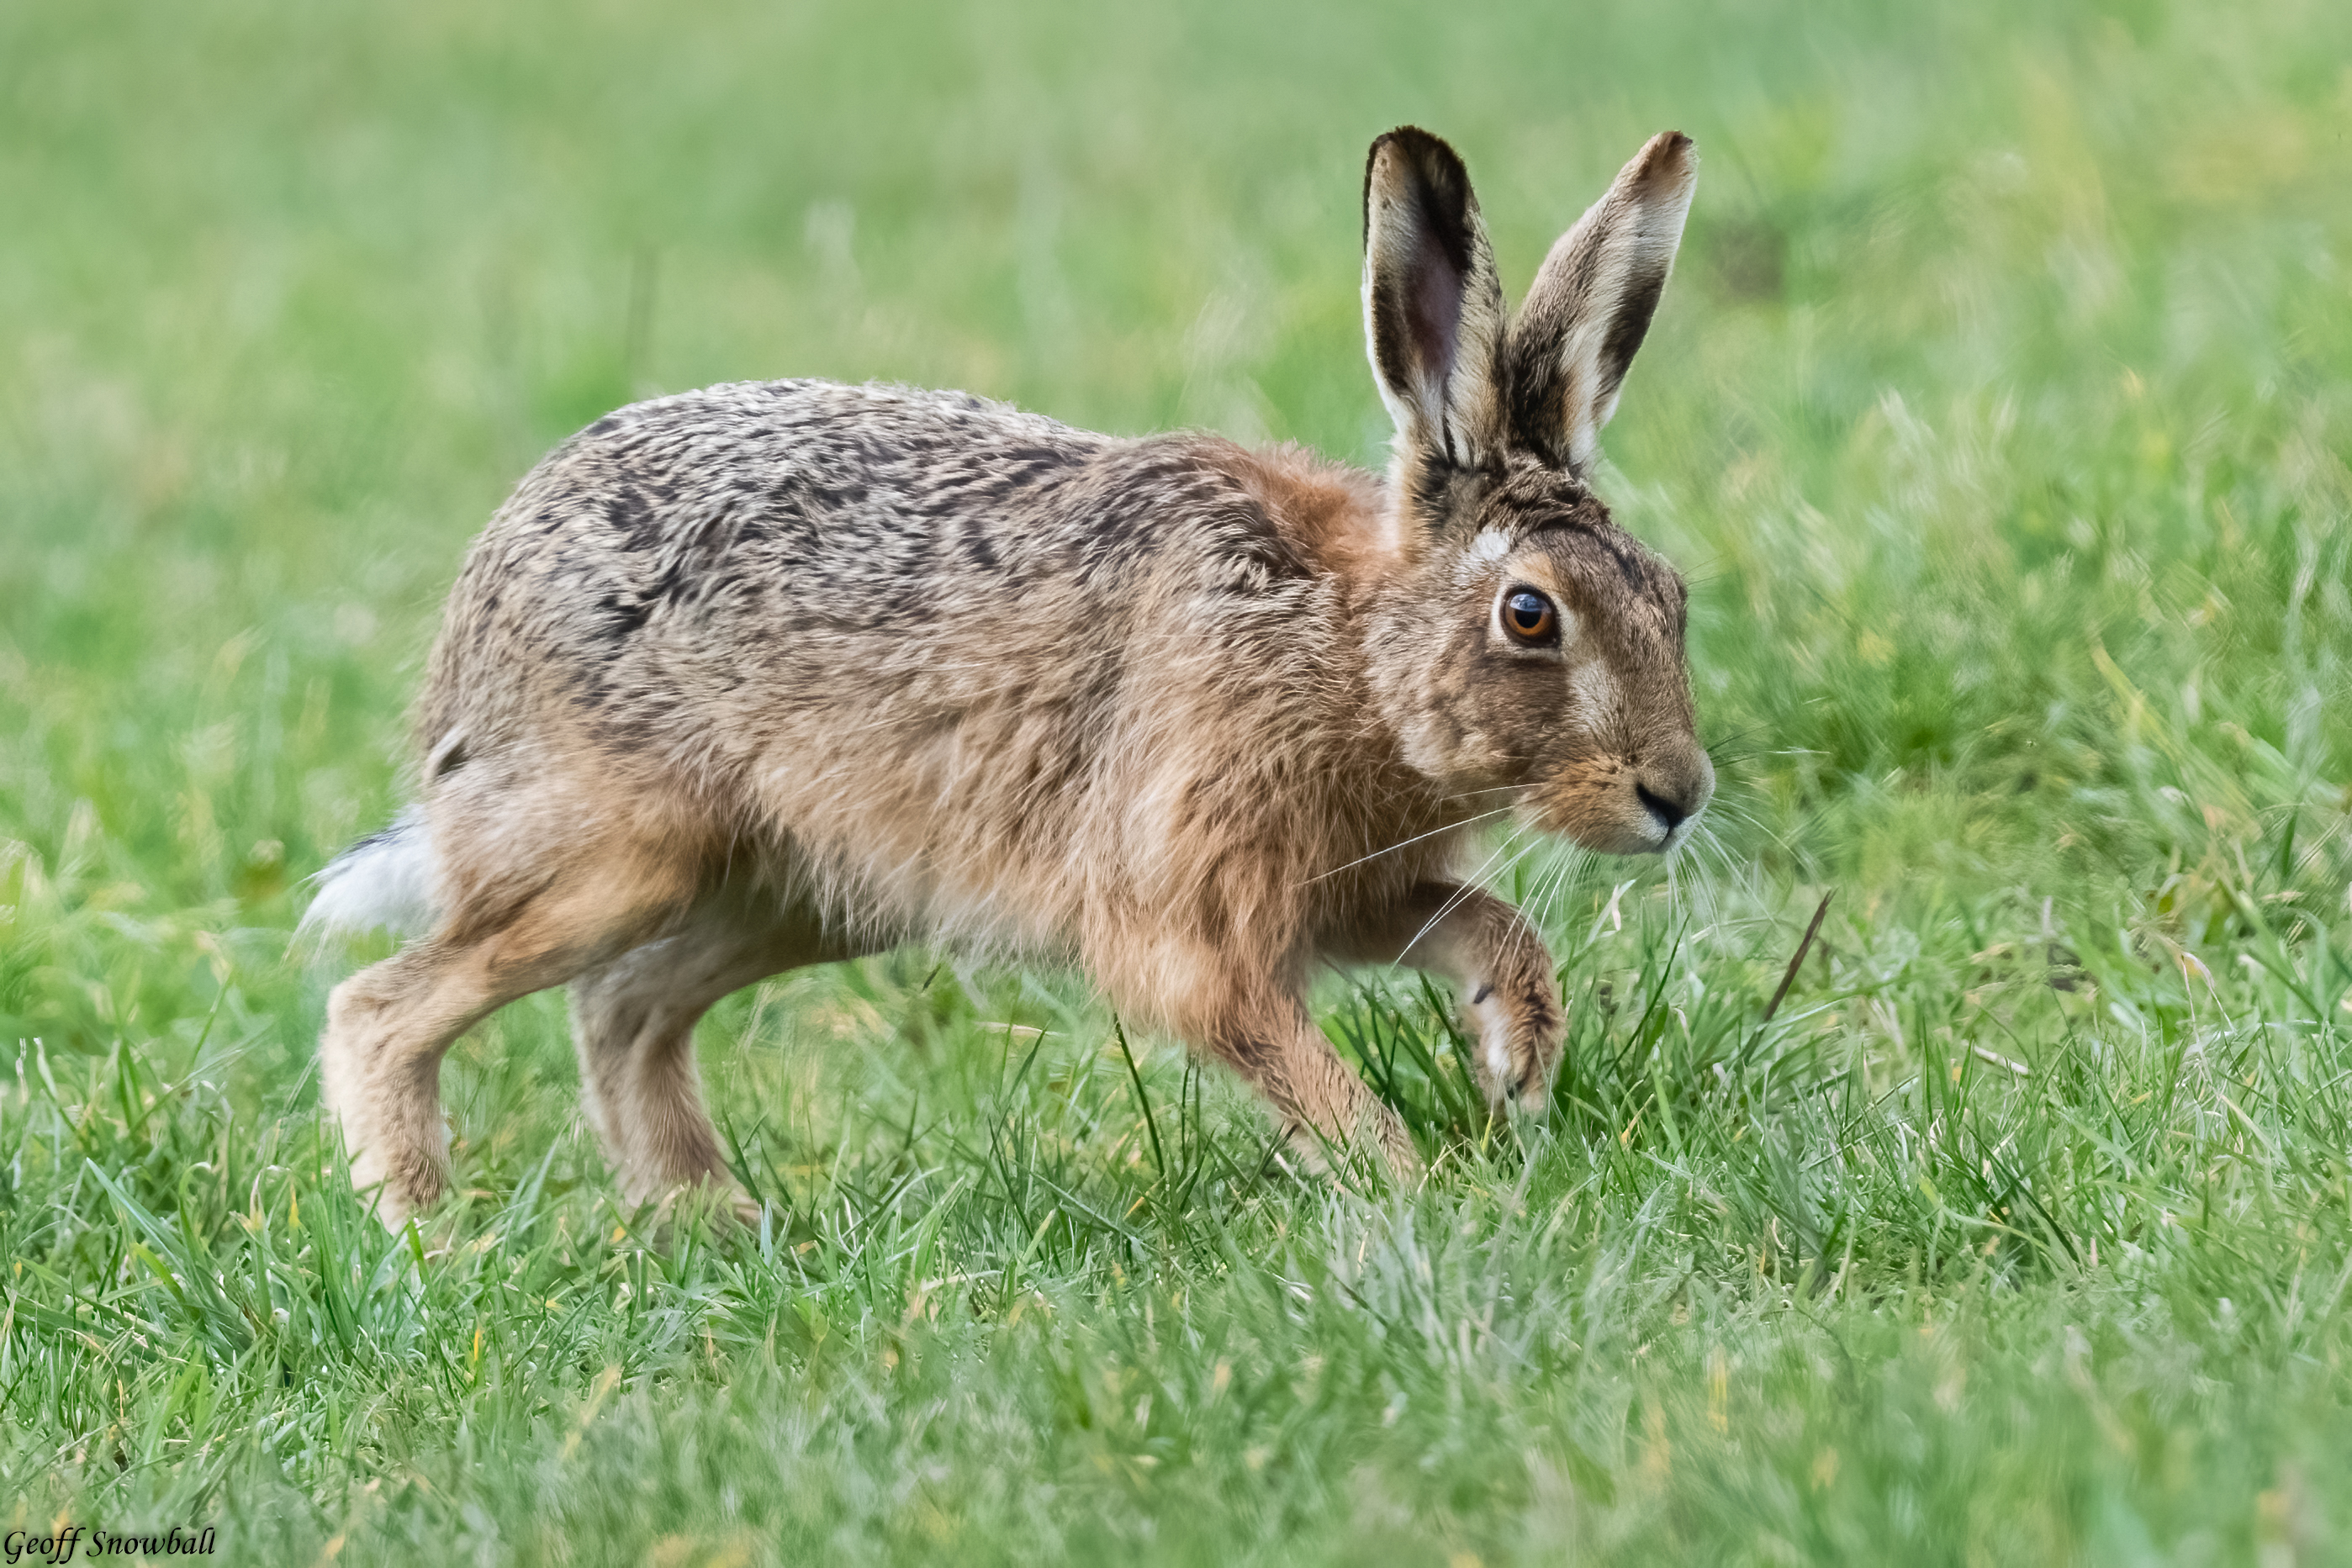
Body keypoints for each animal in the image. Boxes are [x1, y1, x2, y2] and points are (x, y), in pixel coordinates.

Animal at [303, 126, 1714, 1227]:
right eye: (1529, 615)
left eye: (1671, 596)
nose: (1677, 795)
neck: (1348, 651)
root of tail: (468, 648)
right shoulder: (1193, 916)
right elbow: (1283, 1055)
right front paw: (1409, 1186)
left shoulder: (1339, 889)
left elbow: (1486, 921)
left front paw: (1515, 1056)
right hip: (615, 857)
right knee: (384, 1005)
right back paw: (432, 1235)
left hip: (798, 890)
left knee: (624, 1012)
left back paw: (718, 1224)